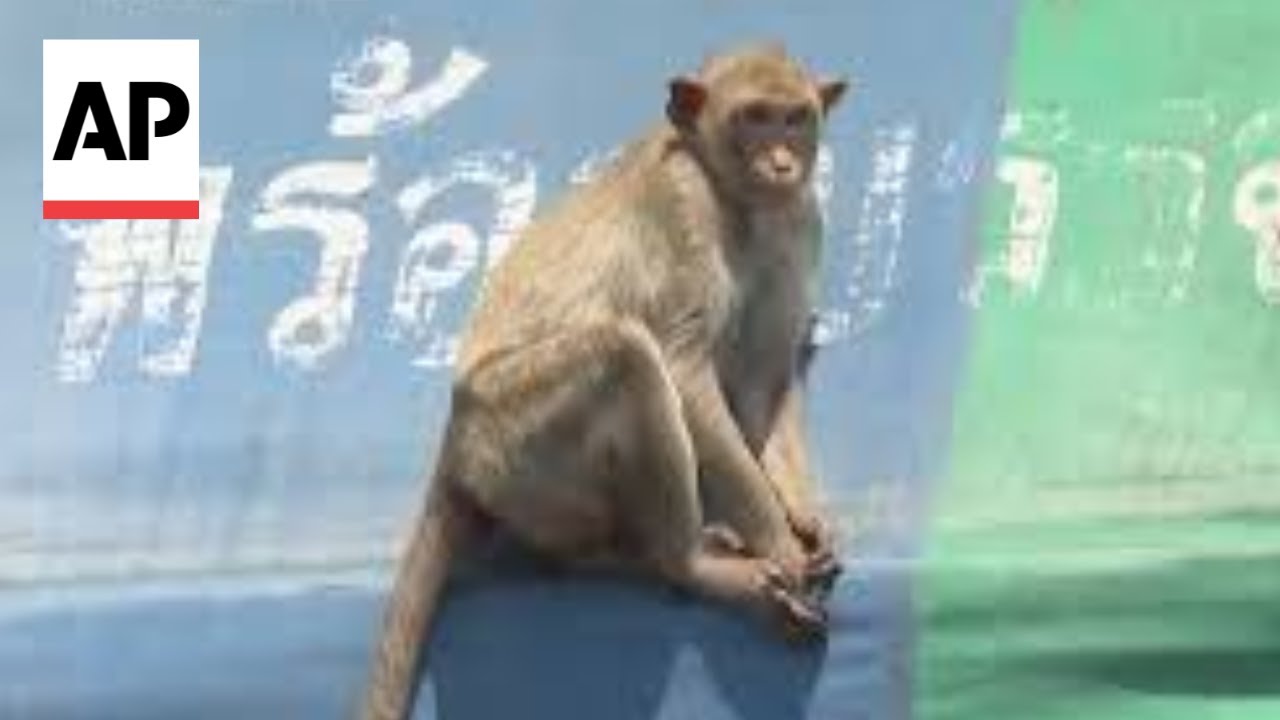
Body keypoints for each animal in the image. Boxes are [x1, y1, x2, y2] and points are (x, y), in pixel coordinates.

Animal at [357, 44, 847, 720]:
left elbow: (762, 376)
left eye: (795, 117)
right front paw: (779, 545)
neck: (733, 196)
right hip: (510, 434)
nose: (782, 162)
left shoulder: (796, 219)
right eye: (754, 116)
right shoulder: (683, 204)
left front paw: (806, 517)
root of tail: (455, 442)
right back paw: (687, 562)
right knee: (625, 354)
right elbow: (686, 369)